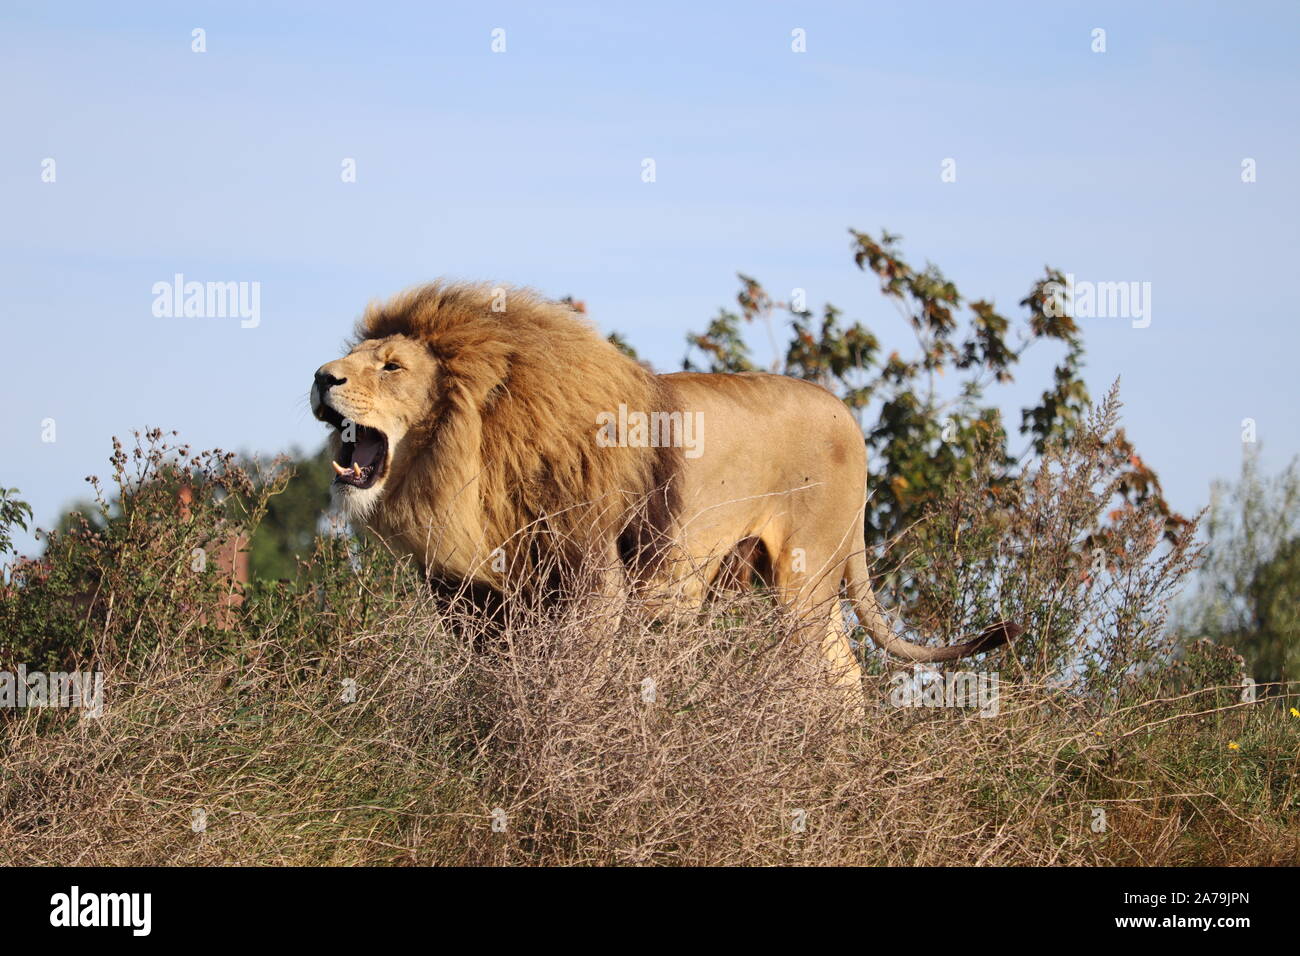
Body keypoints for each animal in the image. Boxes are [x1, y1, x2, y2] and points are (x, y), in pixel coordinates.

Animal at [310, 282, 1017, 693]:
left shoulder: (594, 580)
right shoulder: (472, 600)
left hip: (804, 579)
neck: (467, 462)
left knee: (837, 675)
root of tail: (847, 414)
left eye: (392, 366)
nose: (320, 377)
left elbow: (575, 672)